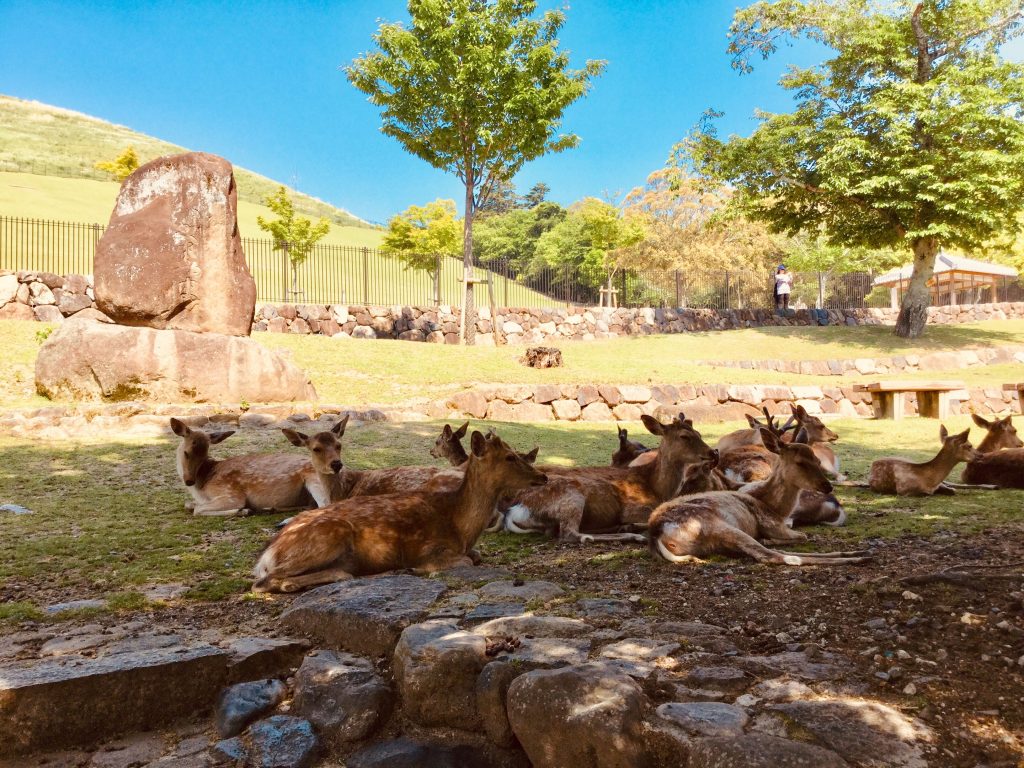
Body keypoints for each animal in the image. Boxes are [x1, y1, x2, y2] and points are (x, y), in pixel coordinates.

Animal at [170, 417, 338, 516]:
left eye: (205, 454)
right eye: (186, 452)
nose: (189, 480)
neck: (202, 488)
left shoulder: (230, 493)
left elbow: (197, 510)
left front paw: (243, 510)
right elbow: (189, 505)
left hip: (315, 480)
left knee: (325, 505)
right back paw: (270, 509)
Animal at [252, 431, 548, 593]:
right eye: (509, 457)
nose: (543, 476)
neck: (461, 526)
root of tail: (267, 553)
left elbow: (475, 556)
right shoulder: (429, 548)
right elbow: (463, 561)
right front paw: (418, 569)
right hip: (329, 535)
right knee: (264, 581)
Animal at [499, 414, 718, 543]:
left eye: (699, 432)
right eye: (684, 436)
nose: (713, 452)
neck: (657, 488)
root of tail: (516, 510)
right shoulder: (634, 507)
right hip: (570, 495)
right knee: (570, 534)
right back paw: (628, 534)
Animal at [648, 428, 870, 566]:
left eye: (817, 460)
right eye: (800, 462)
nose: (827, 486)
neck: (774, 507)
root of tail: (657, 534)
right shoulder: (772, 523)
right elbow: (803, 536)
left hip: (716, 543)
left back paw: (860, 553)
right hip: (718, 527)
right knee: (774, 556)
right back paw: (857, 558)